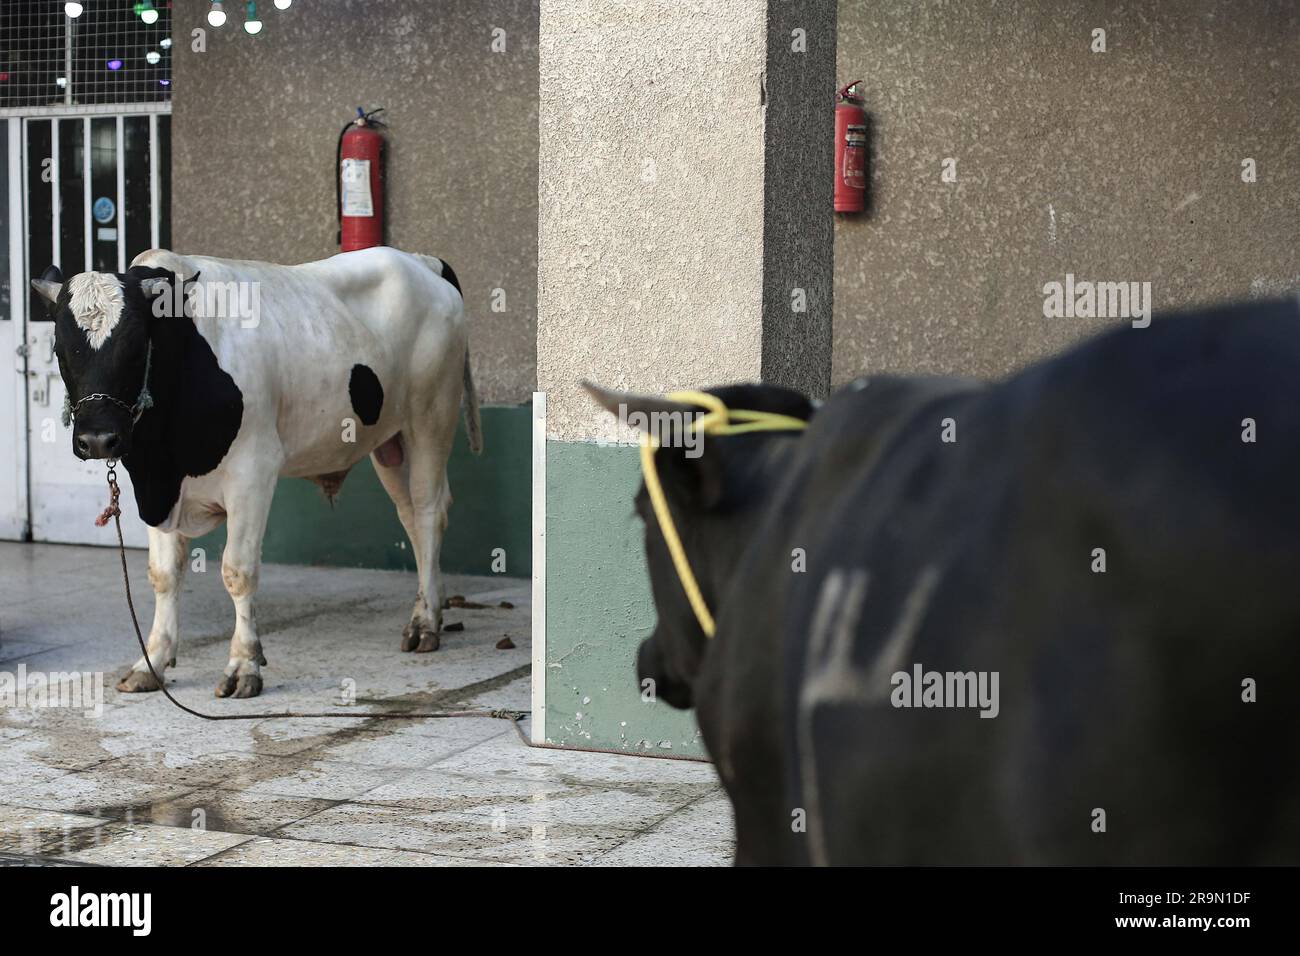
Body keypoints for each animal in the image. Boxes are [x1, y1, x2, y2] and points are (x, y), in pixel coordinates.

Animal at [31, 246, 481, 699]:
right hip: (391, 444)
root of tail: (419, 260)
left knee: (429, 512)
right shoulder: (155, 485)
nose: (98, 440)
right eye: (61, 351)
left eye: (135, 348)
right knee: (410, 516)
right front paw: (152, 662)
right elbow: (163, 574)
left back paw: (425, 622)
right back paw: (430, 608)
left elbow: (238, 571)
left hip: (430, 419)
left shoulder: (253, 470)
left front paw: (243, 665)